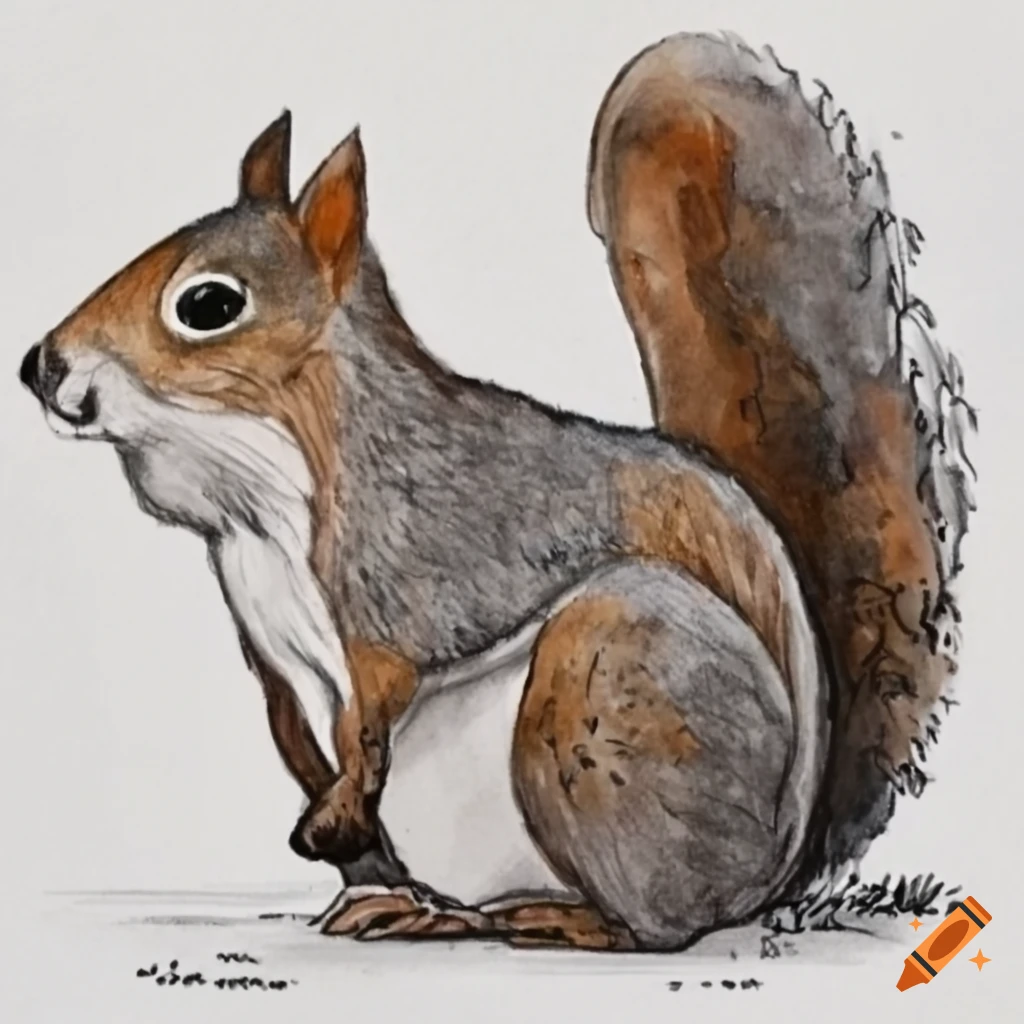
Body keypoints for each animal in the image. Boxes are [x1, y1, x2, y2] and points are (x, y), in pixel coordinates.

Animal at [18, 32, 972, 950]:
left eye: (208, 304)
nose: (41, 367)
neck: (260, 493)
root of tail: (771, 877)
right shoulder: (272, 660)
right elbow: (305, 733)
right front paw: (332, 821)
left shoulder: (421, 569)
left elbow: (378, 702)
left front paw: (337, 806)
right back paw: (413, 908)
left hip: (605, 676)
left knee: (658, 928)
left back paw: (569, 921)